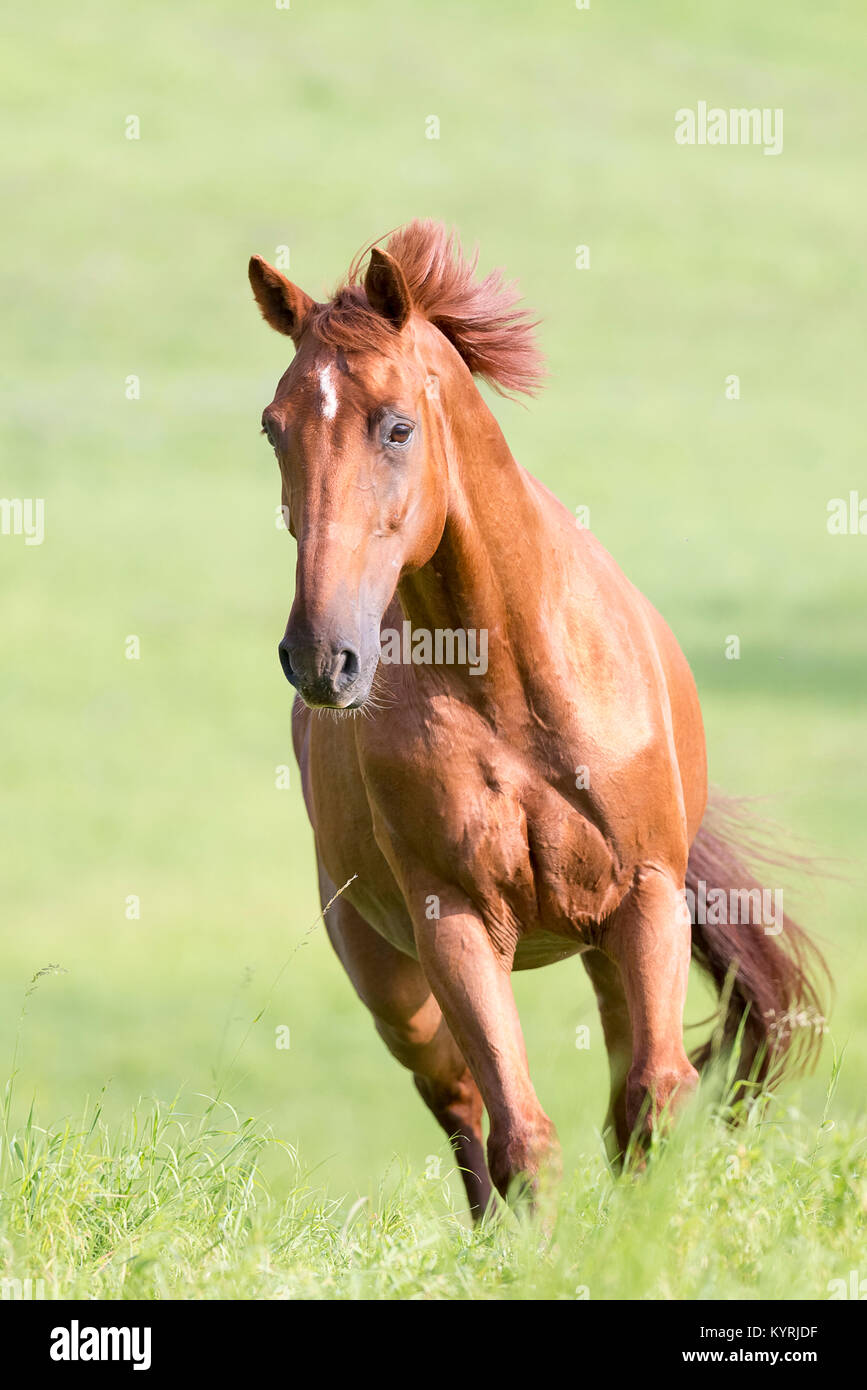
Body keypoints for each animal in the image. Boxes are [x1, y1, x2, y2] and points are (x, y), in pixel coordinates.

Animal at [247, 221, 827, 1218]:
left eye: (396, 426)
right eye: (273, 427)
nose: (321, 656)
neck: (513, 687)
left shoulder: (645, 897)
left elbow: (653, 1097)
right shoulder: (456, 921)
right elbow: (523, 1137)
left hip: (603, 947)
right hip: (394, 987)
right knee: (460, 1109)